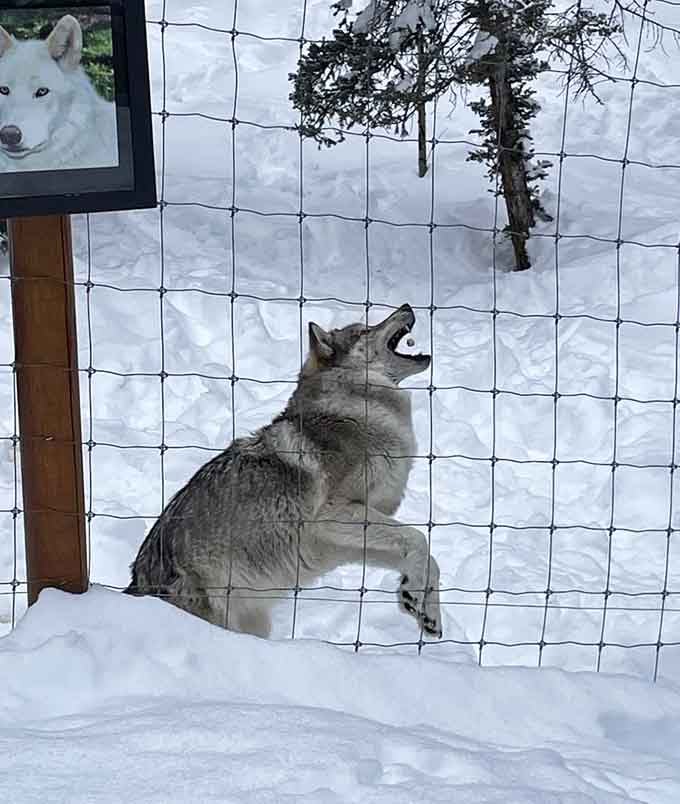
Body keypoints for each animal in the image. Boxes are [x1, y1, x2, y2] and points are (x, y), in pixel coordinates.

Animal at [126, 304, 442, 639]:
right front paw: (416, 595)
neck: (360, 409)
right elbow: (418, 537)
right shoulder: (333, 515)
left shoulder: (351, 535)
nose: (407, 306)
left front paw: (425, 609)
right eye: (364, 329)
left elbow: (426, 556)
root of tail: (137, 583)